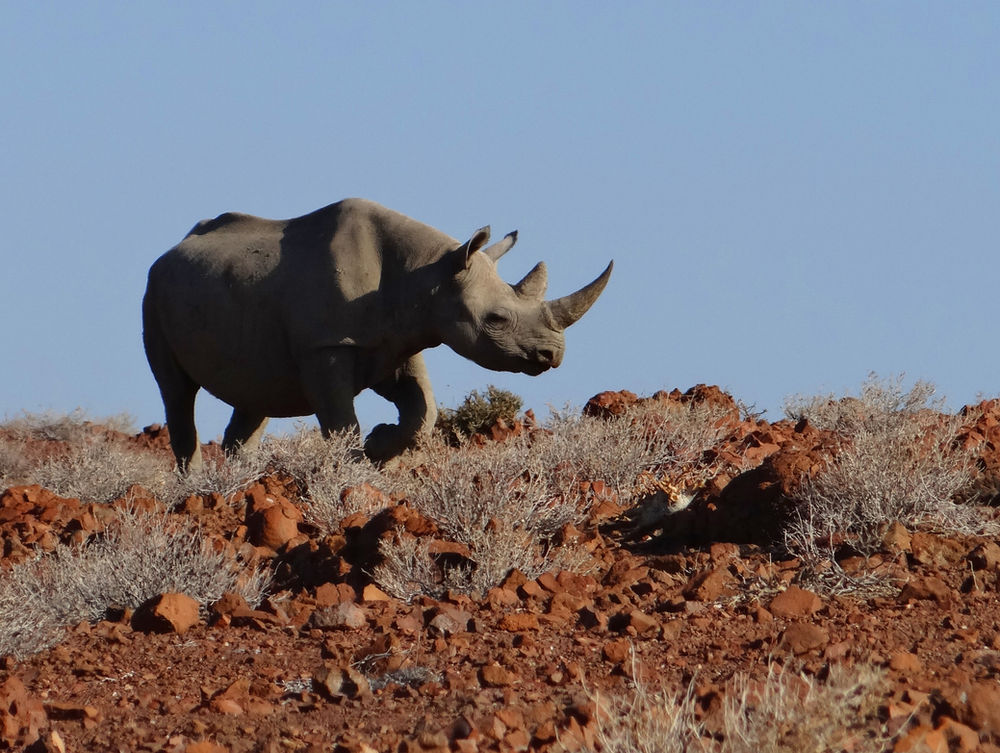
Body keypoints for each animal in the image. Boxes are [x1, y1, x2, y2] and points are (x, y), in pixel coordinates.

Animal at [142, 198, 612, 469]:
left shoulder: (400, 338)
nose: (553, 355)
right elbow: (340, 419)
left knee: (255, 395)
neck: (431, 273)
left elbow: (424, 410)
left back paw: (239, 482)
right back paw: (195, 485)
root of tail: (169, 250)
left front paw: (379, 443)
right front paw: (355, 465)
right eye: (496, 319)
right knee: (177, 392)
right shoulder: (327, 344)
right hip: (153, 294)